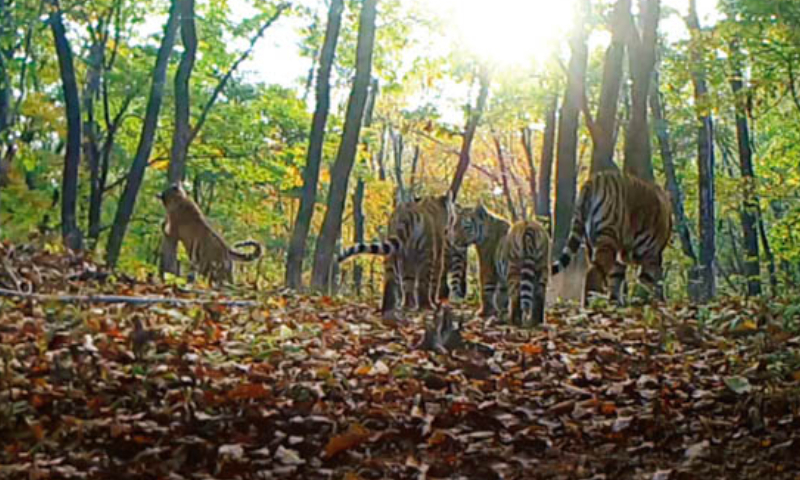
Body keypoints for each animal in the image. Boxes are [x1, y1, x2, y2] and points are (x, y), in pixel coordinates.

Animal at [551, 171, 673, 305]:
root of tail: (592, 182)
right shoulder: (651, 252)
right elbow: (654, 279)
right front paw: (661, 302)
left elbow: (616, 281)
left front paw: (616, 304)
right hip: (608, 237)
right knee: (593, 273)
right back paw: (589, 306)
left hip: (591, 242)